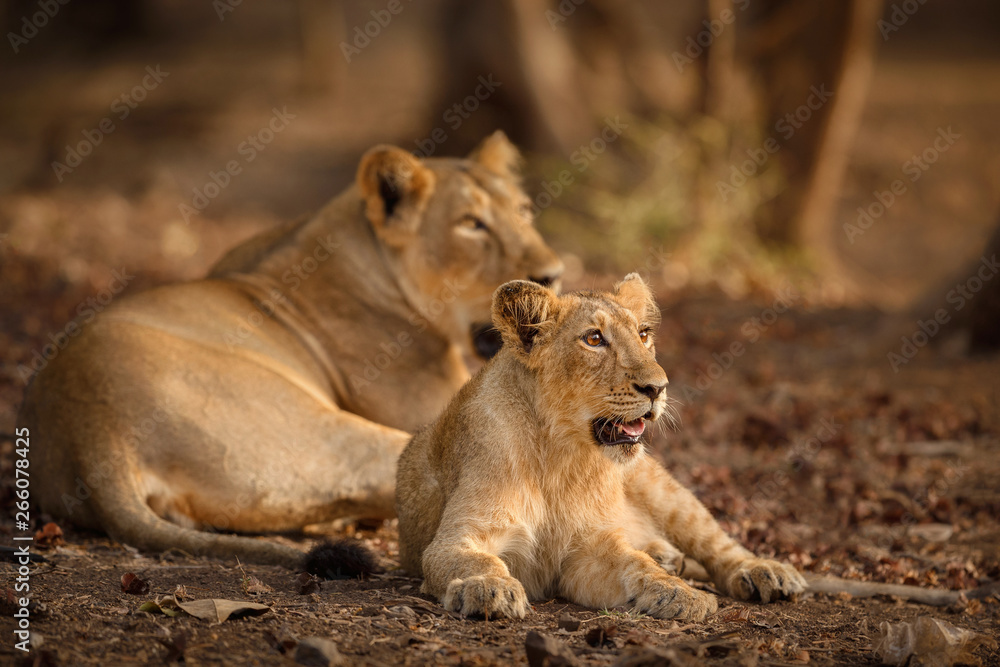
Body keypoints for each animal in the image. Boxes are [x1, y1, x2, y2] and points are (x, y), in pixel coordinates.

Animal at [396, 274, 806, 620]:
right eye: (594, 339)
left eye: (643, 334)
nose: (658, 387)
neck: (560, 454)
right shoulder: (455, 540)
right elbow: (478, 561)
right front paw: (489, 587)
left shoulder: (586, 549)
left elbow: (635, 564)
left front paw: (681, 593)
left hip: (666, 492)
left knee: (716, 544)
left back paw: (764, 571)